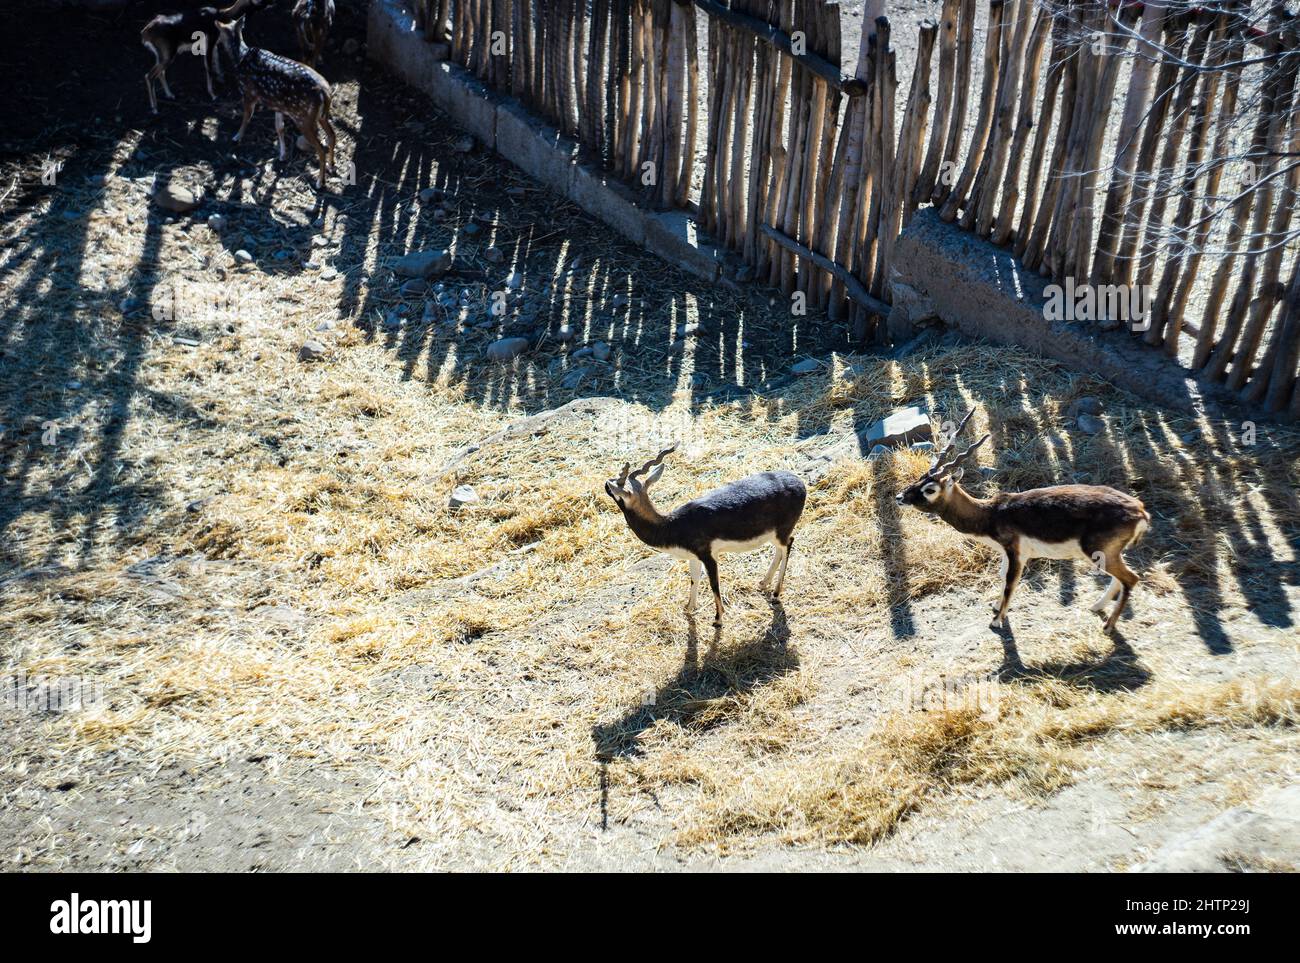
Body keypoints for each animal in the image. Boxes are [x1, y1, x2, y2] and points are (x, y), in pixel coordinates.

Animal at [140, 0, 269, 114]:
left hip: (163, 57)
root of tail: (145, 32)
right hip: (167, 56)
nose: (268, 4)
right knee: (149, 76)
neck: (221, 14)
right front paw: (213, 95)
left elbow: (216, 62)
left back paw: (170, 95)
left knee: (160, 73)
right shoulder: (210, 44)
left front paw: (221, 79)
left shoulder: (213, 45)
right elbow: (209, 68)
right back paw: (155, 109)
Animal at [605, 446, 807, 626]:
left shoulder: (708, 556)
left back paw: (776, 594)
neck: (671, 525)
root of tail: (800, 483)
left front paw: (718, 620)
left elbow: (713, 584)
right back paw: (764, 583)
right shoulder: (693, 558)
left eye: (618, 493)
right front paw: (689, 608)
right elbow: (694, 579)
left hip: (782, 533)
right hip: (773, 536)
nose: (606, 484)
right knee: (779, 551)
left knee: (788, 545)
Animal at [895, 409, 1150, 632]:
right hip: (1110, 554)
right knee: (1121, 578)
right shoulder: (1008, 554)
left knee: (1131, 578)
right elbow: (1002, 577)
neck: (991, 514)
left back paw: (1107, 626)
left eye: (929, 489)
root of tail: (1140, 511)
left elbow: (1010, 582)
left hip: (1098, 551)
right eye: (919, 479)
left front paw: (997, 620)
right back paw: (1096, 606)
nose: (899, 497)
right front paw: (996, 606)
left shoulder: (1016, 553)